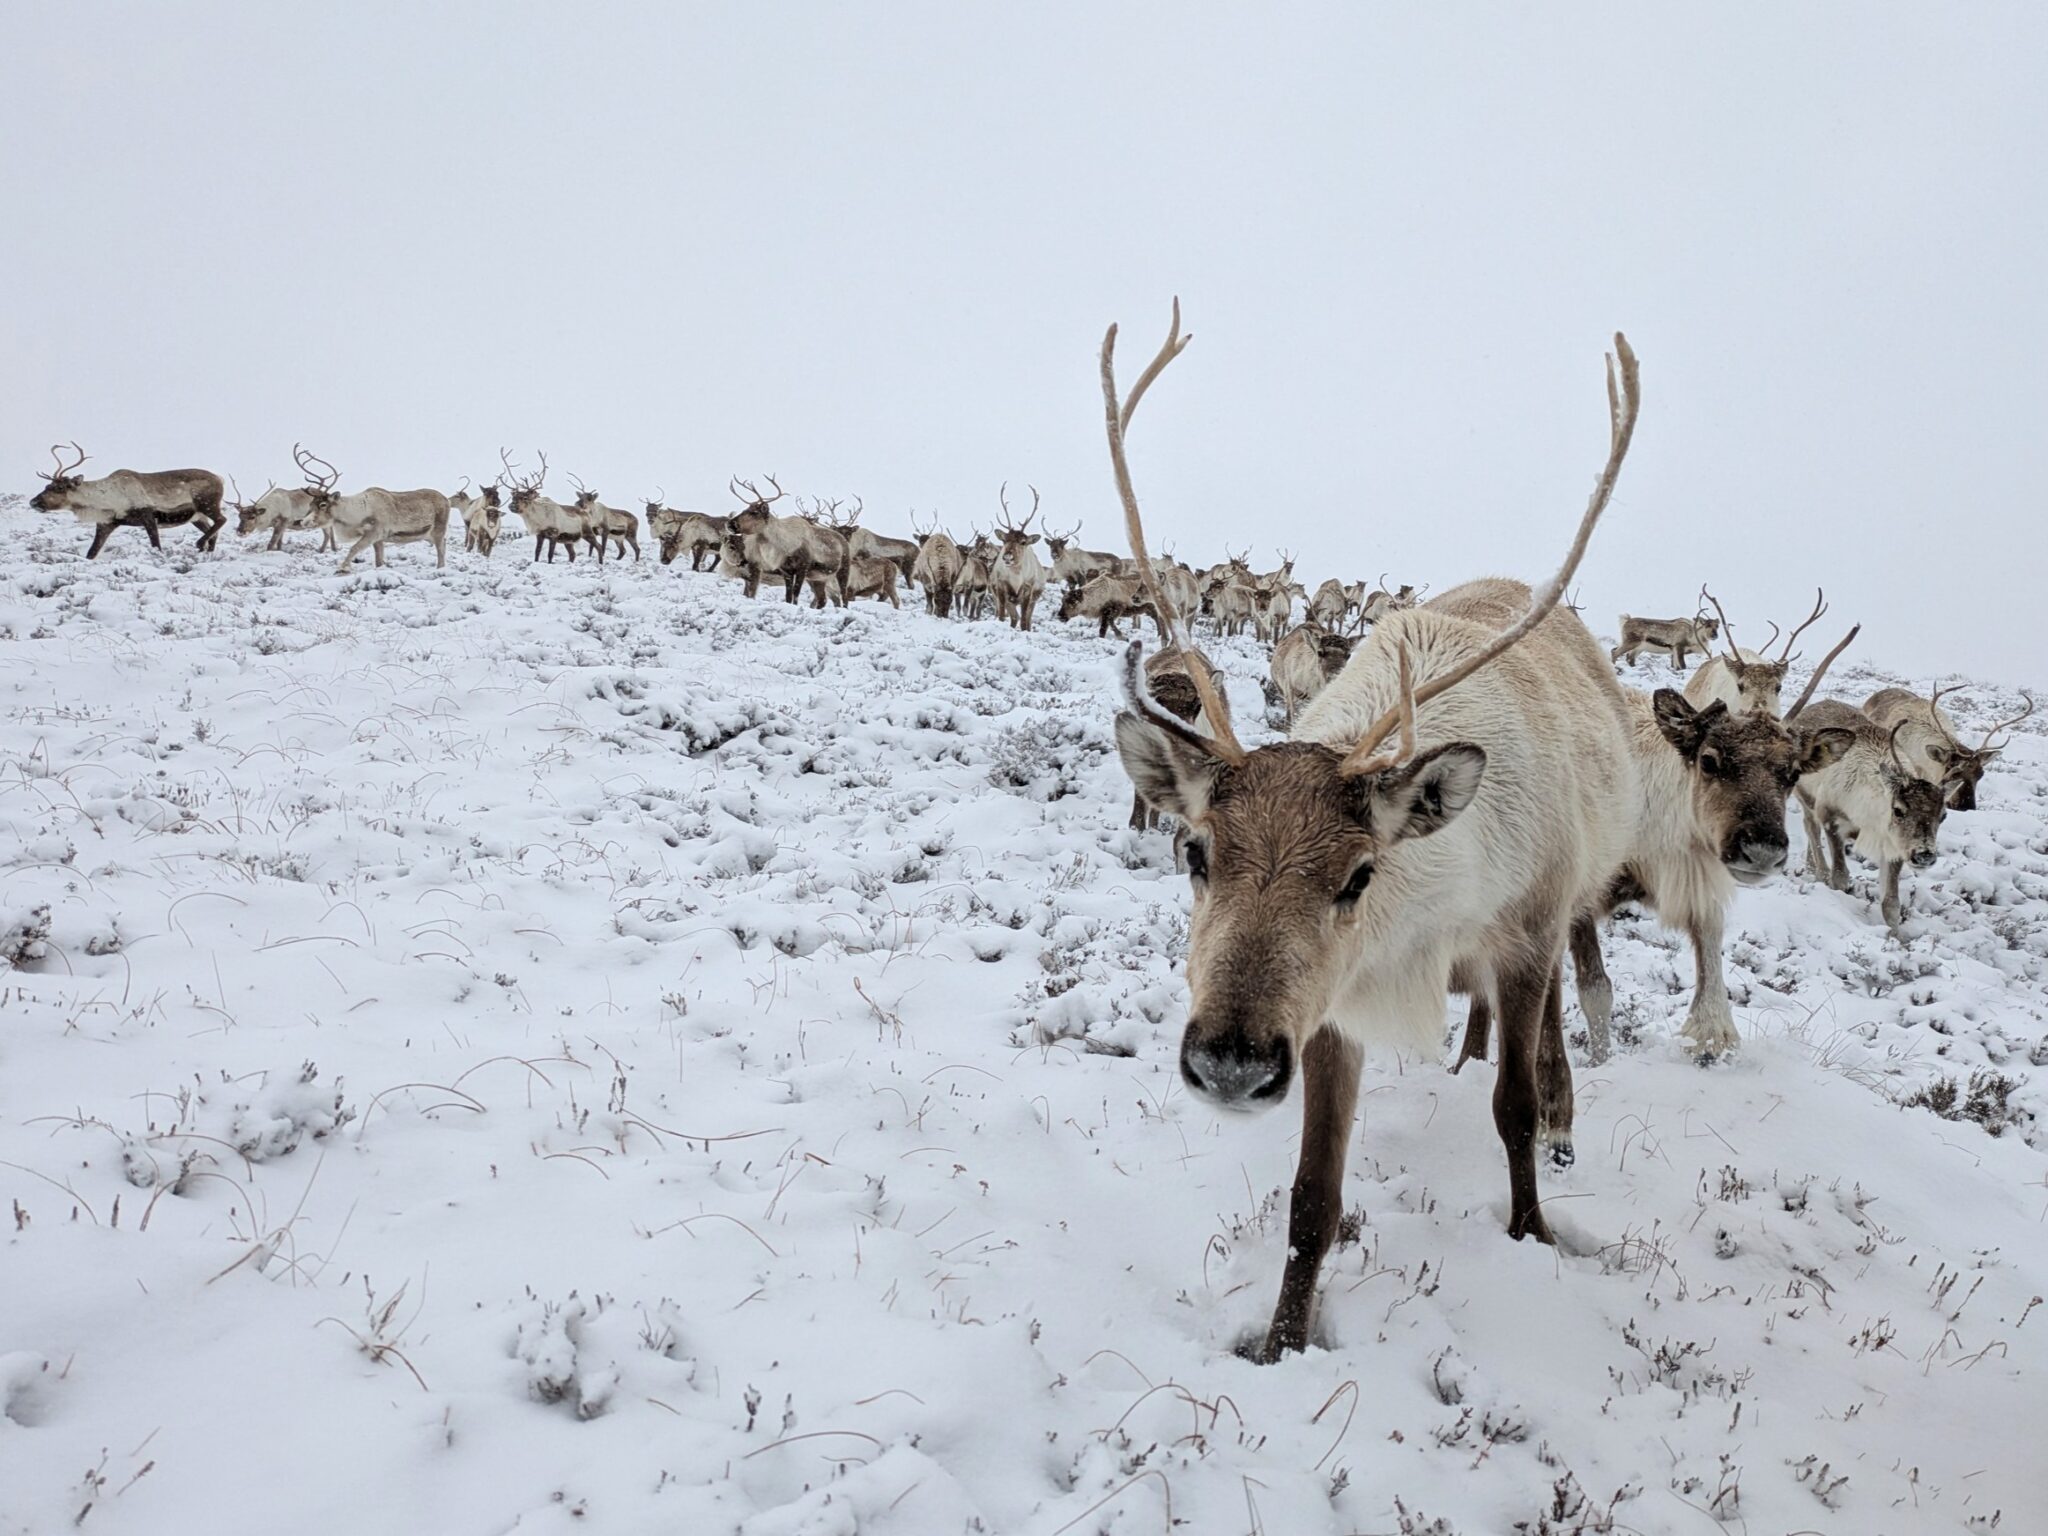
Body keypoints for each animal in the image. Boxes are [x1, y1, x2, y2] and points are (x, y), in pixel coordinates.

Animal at [29, 442, 226, 558]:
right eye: (46, 486)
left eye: (60, 487)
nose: (33, 502)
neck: (106, 499)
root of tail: (220, 478)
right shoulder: (107, 523)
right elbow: (92, 552)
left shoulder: (148, 515)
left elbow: (156, 546)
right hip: (196, 516)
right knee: (213, 531)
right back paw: (207, 551)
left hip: (208, 504)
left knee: (222, 520)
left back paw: (200, 544)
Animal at [1107, 301, 1643, 1360]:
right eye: (1195, 852)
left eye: (1358, 875)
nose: (1229, 1062)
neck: (1420, 928)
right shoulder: (1328, 1006)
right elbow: (1313, 1196)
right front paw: (1281, 1342)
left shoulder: (1523, 928)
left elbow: (1513, 1110)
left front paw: (1531, 1231)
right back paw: (1466, 1050)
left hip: (1578, 884)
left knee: (1562, 1004)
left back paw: (1564, 1112)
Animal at [1786, 700, 1948, 932]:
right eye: (1898, 809)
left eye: (1943, 815)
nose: (1924, 855)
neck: (1868, 820)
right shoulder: (1830, 818)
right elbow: (1840, 877)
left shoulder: (1894, 846)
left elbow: (1891, 903)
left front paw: (1895, 937)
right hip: (1805, 798)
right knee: (1811, 828)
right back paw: (1819, 871)